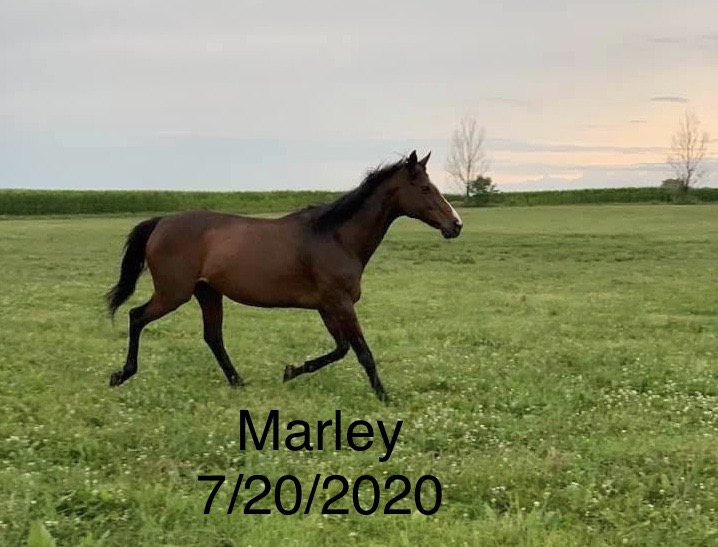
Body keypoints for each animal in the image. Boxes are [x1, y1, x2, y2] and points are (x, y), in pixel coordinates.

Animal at [105, 150, 462, 401]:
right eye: (425, 188)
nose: (456, 225)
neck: (336, 237)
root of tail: (161, 222)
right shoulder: (340, 302)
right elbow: (362, 352)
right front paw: (385, 398)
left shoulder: (327, 306)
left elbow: (341, 349)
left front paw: (291, 371)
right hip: (173, 293)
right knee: (137, 316)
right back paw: (121, 375)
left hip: (207, 292)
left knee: (213, 337)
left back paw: (238, 383)